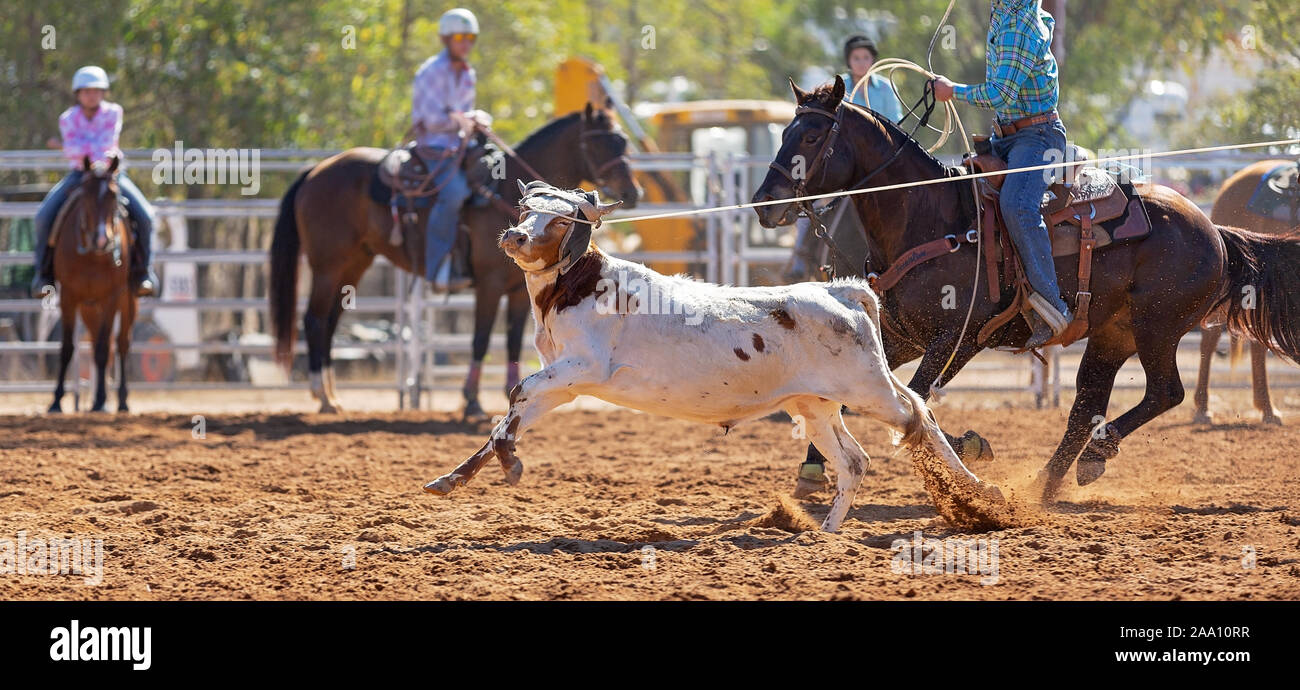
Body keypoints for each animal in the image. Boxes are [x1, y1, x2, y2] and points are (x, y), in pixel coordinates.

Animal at [424, 181, 1001, 532]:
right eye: (528, 210)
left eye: (564, 222)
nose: (515, 236)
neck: (578, 285)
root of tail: (841, 290)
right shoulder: (563, 384)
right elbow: (514, 412)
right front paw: (456, 477)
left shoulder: (582, 368)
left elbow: (516, 394)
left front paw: (511, 463)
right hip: (814, 404)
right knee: (854, 459)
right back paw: (824, 533)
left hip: (868, 389)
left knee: (918, 418)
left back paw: (979, 494)